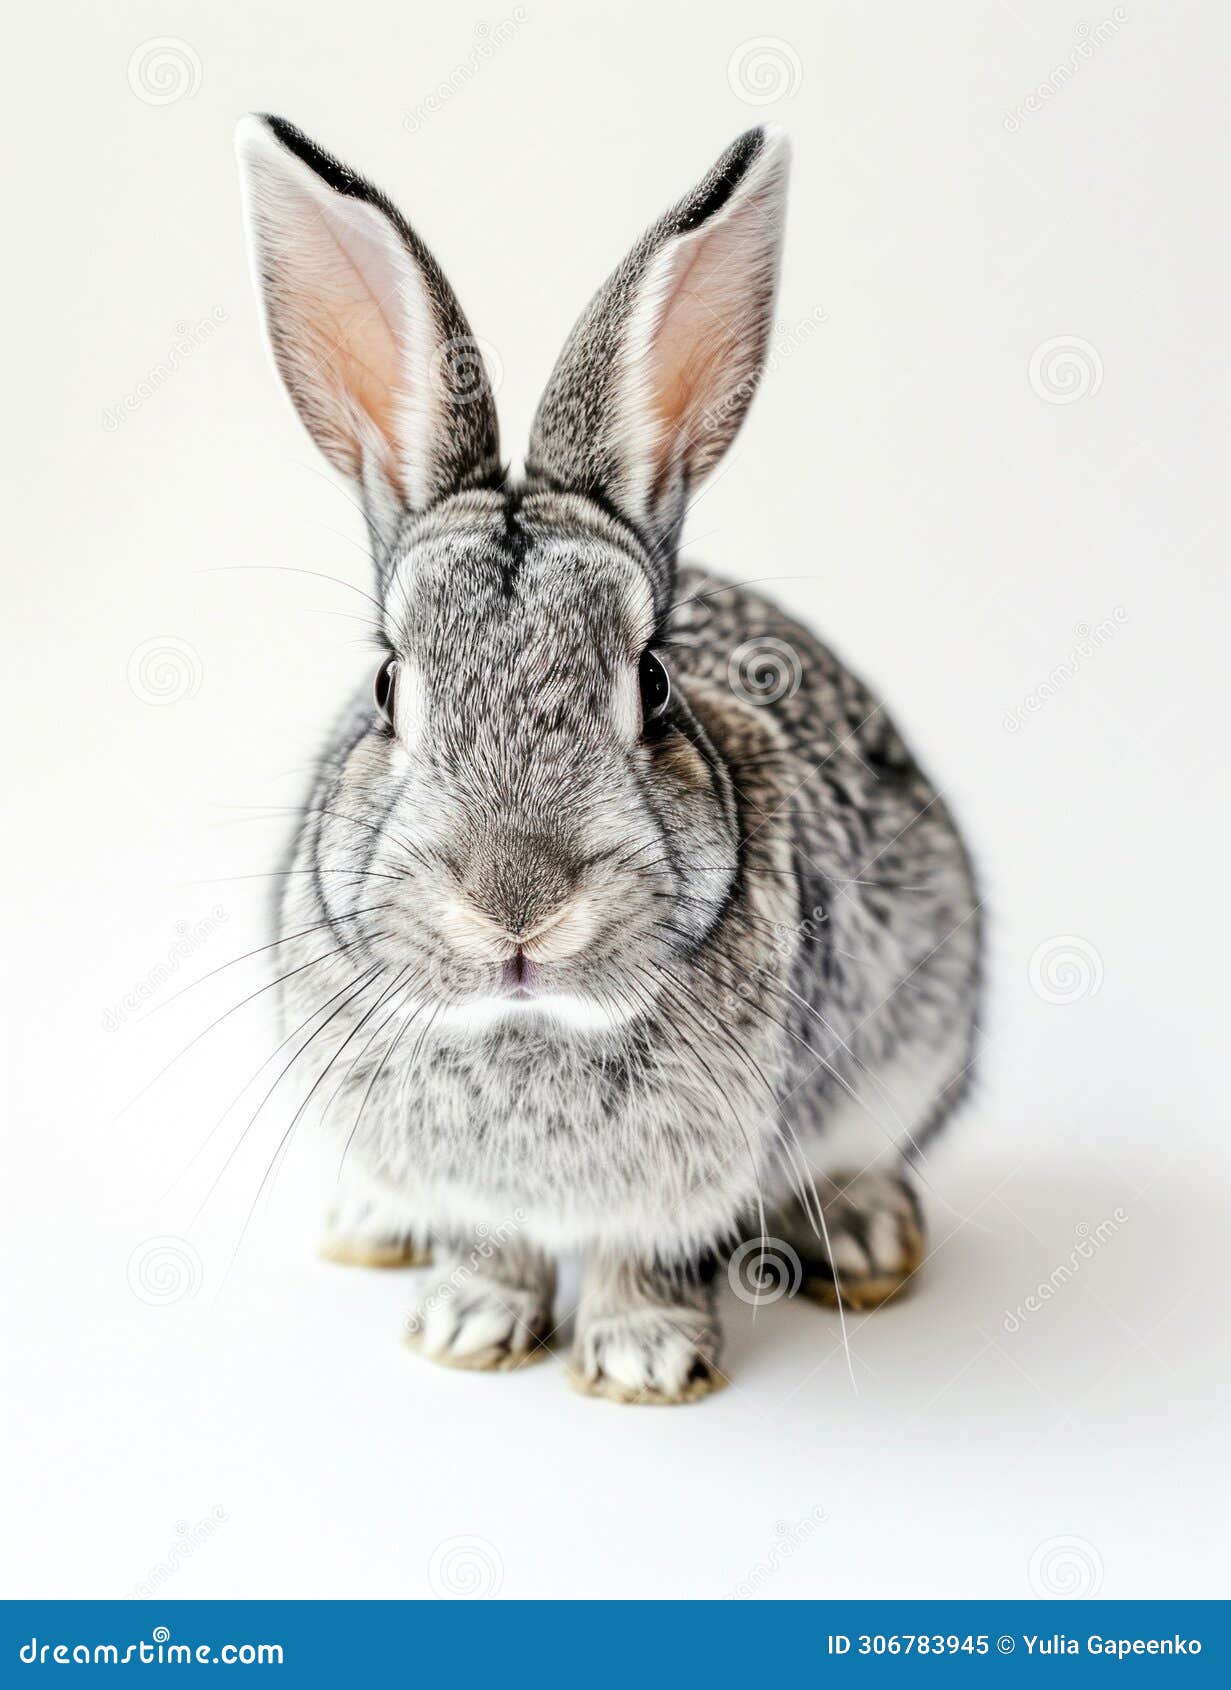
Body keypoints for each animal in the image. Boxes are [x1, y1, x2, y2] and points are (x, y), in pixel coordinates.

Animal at [235, 115, 981, 1404]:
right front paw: (468, 1326)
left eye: (653, 683)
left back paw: (861, 1234)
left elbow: (650, 1260)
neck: (528, 1026)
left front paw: (641, 1358)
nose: (515, 900)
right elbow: (488, 1244)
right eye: (387, 686)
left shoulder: (691, 1181)